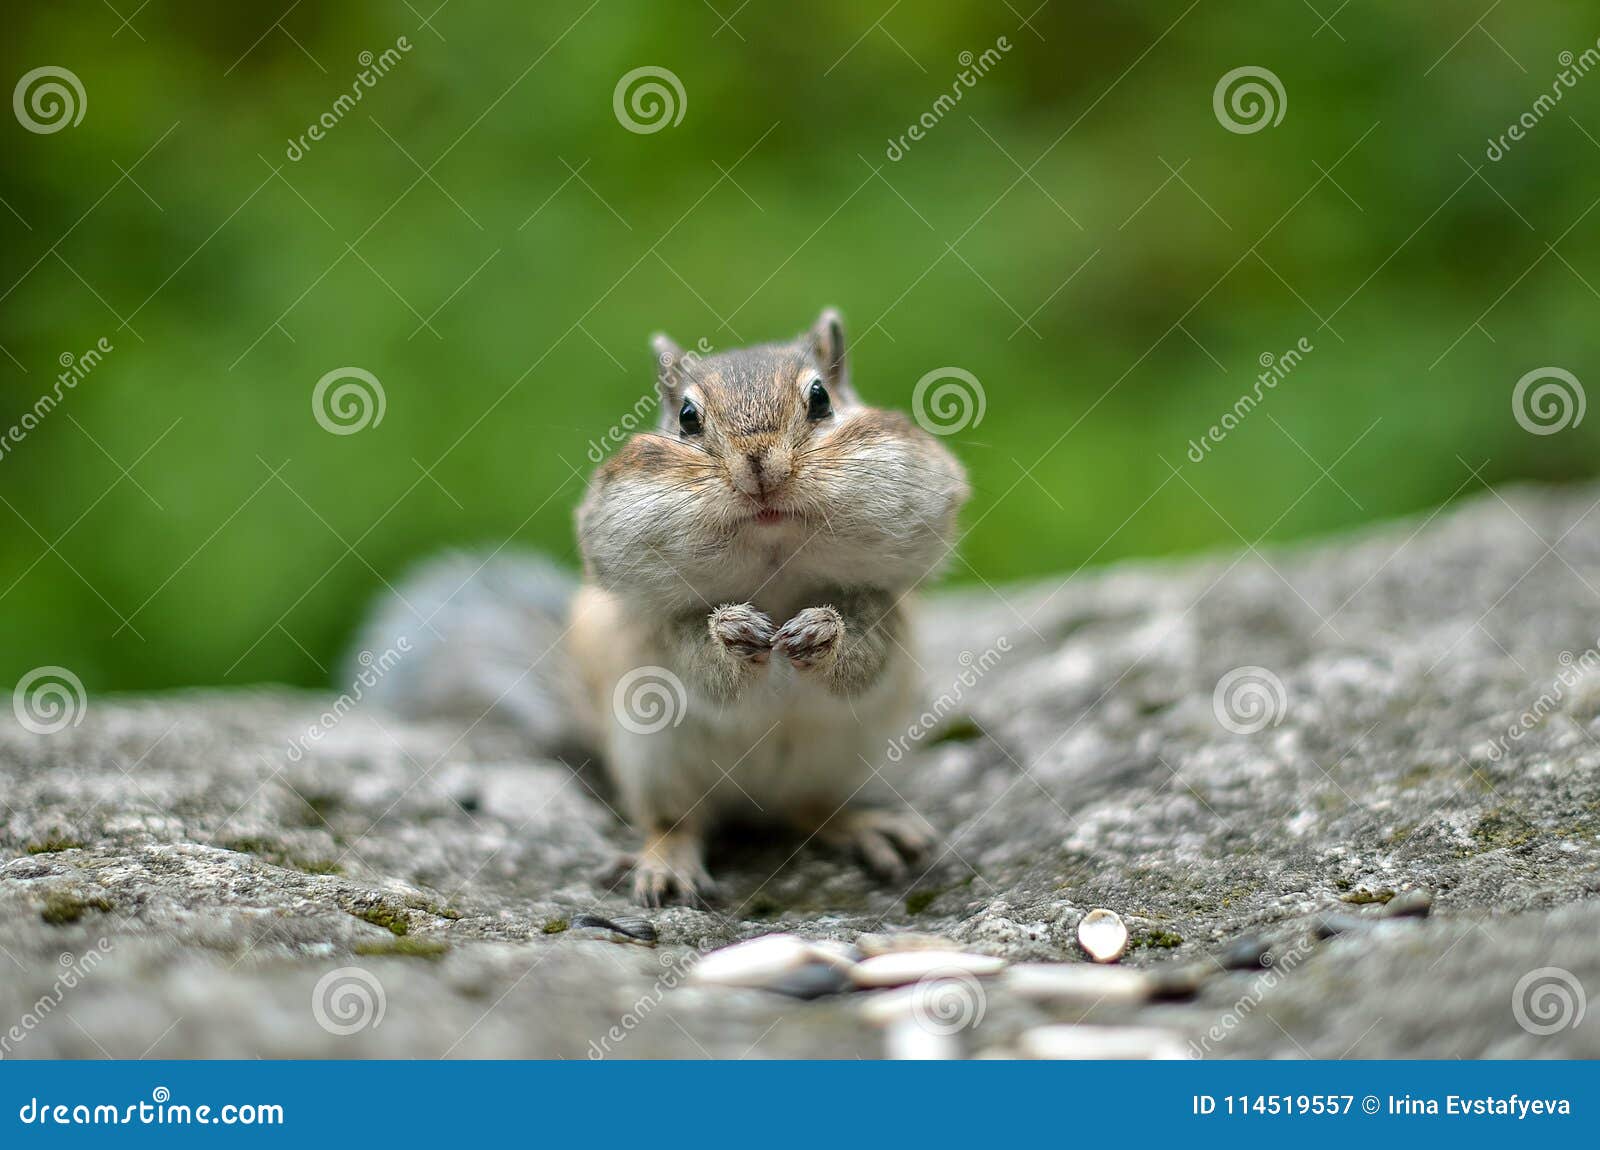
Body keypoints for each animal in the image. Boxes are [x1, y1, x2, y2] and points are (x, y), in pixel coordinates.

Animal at [350, 309, 970, 906]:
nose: (759, 464)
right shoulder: (664, 631)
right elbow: (701, 671)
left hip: (842, 759)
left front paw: (822, 631)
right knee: (677, 821)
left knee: (810, 809)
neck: (773, 570)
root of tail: (754, 802)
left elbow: (864, 661)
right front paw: (732, 633)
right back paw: (667, 863)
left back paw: (863, 825)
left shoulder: (882, 605)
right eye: (688, 417)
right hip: (653, 760)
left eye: (820, 398)